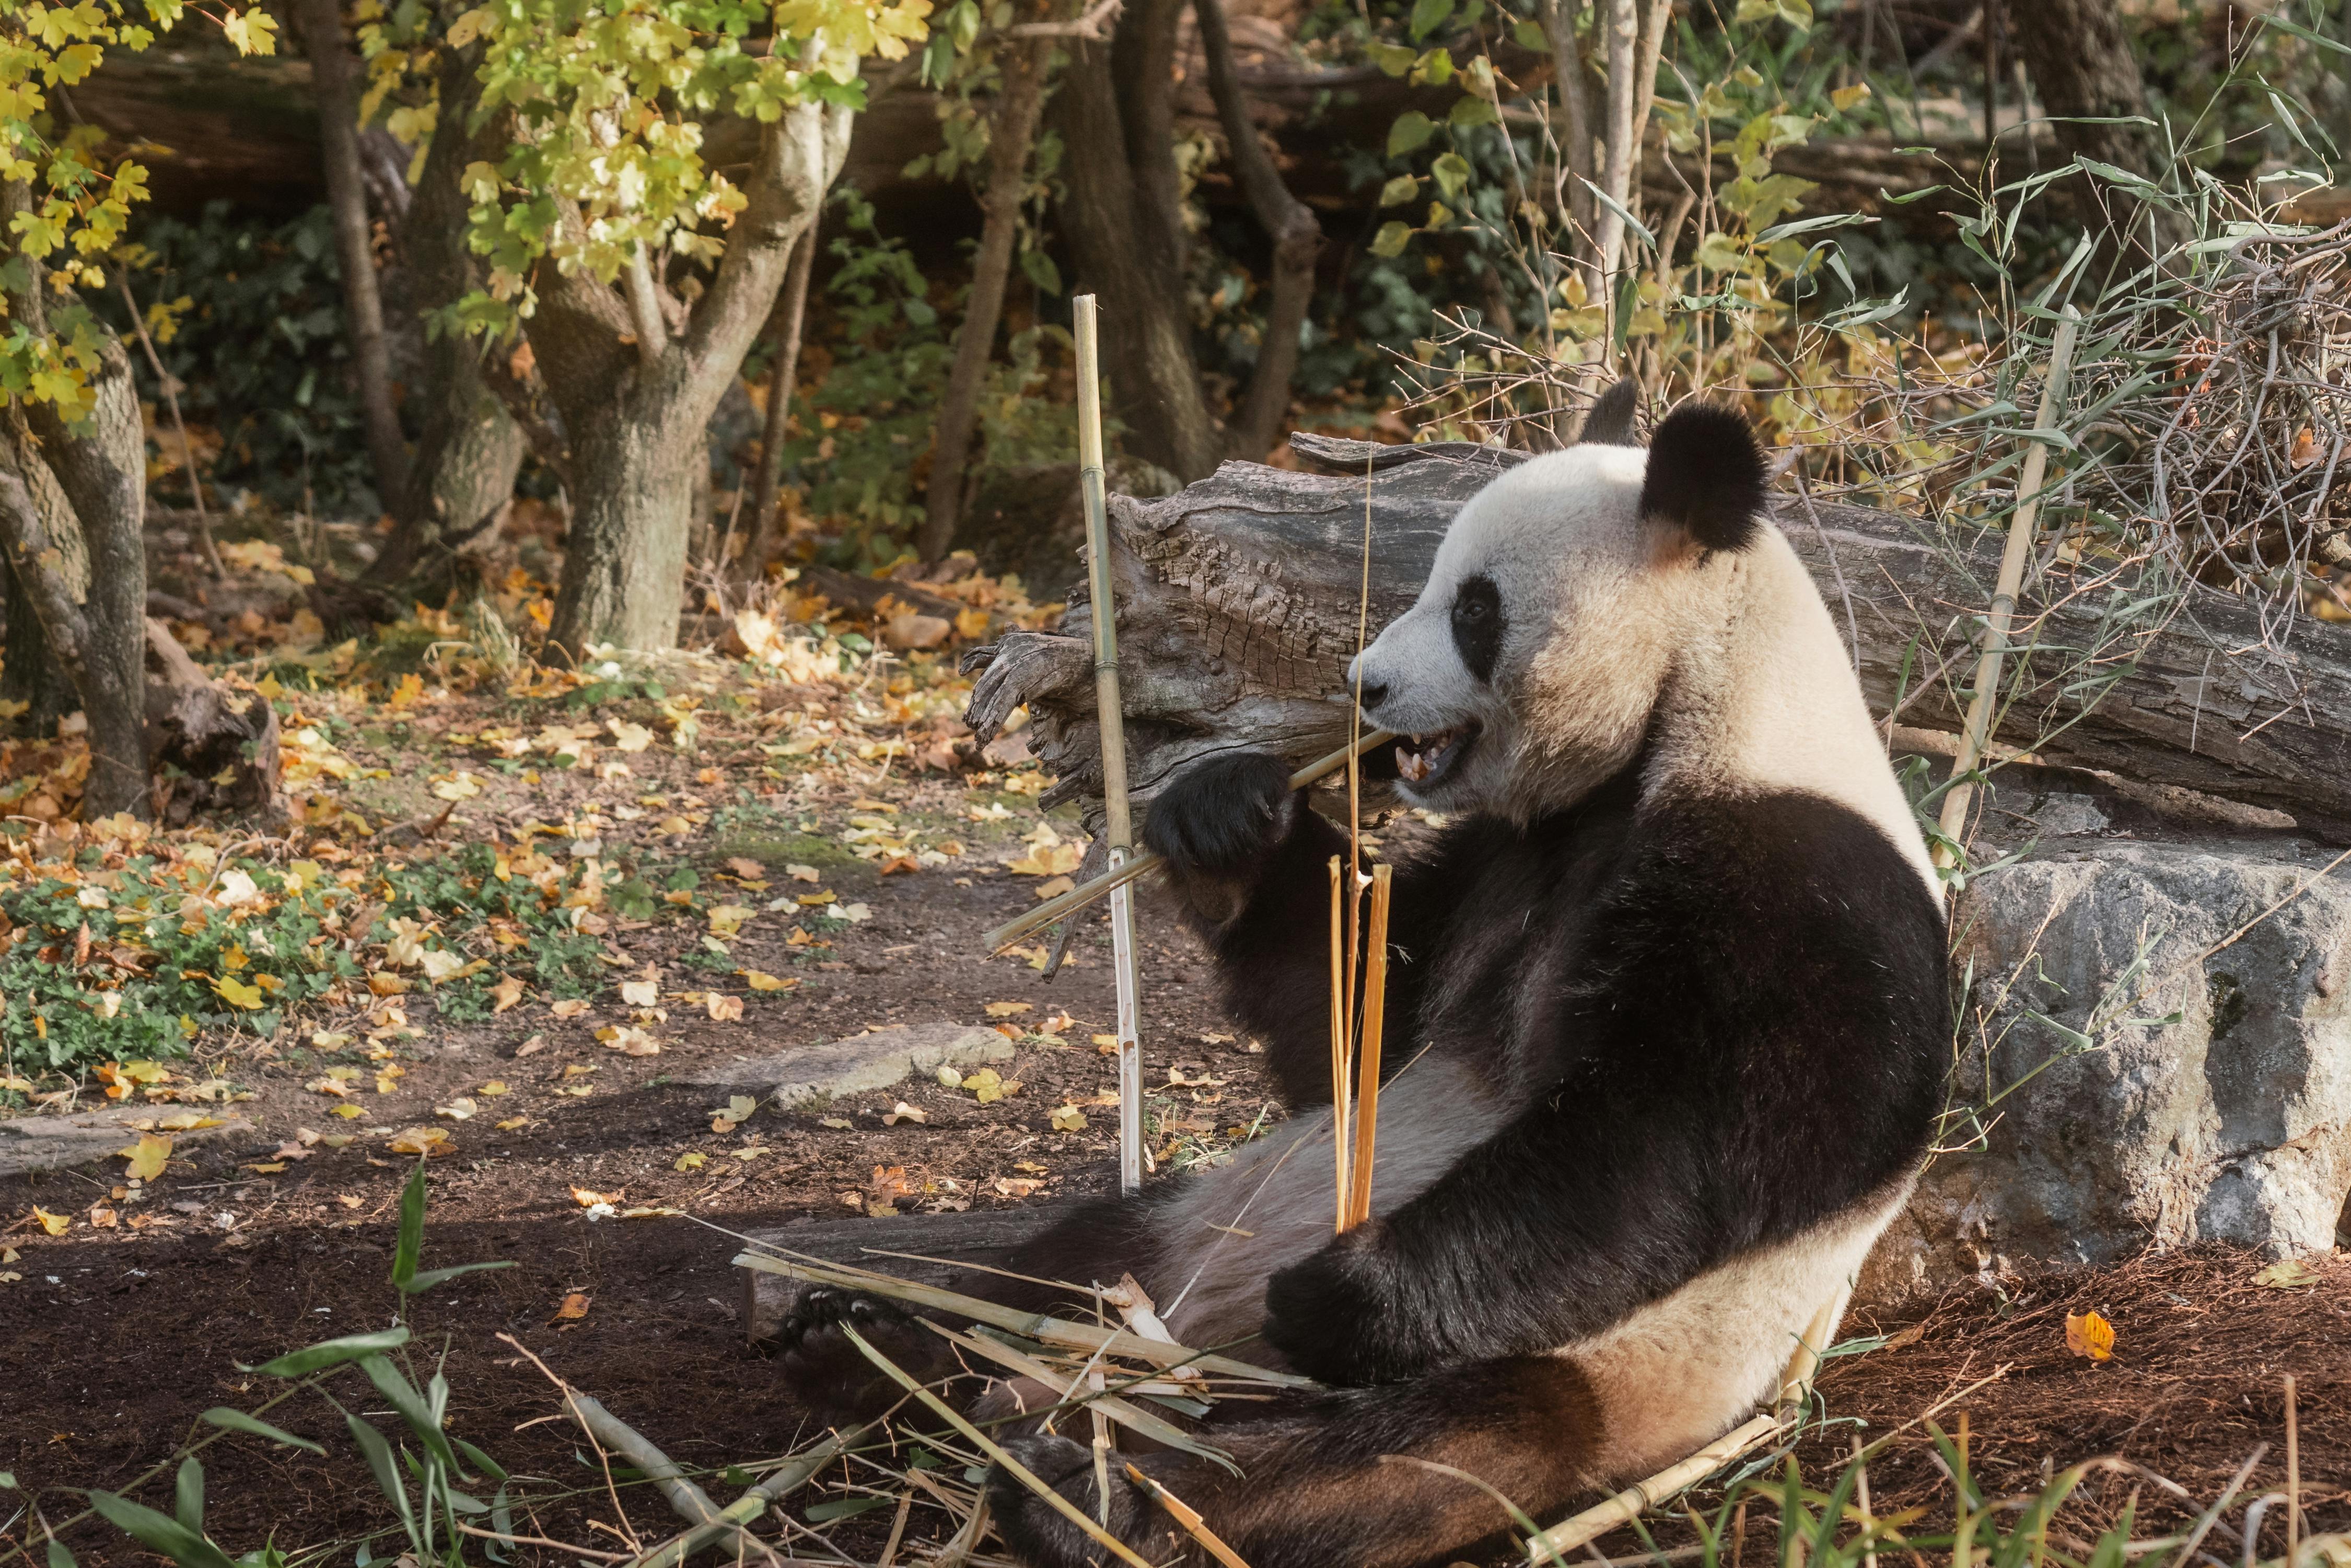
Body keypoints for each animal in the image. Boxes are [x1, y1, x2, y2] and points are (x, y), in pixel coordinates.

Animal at [776, 385, 1949, 1568]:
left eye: (1475, 610)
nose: (1366, 685)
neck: (1701, 705)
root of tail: (1191, 1348)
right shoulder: (1516, 850)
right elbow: (1355, 1024)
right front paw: (1225, 823)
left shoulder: (1800, 887)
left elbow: (1673, 1142)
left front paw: (1344, 1293)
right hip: (1199, 1213)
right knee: (1064, 1264)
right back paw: (880, 1346)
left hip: (1617, 1362)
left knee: (1412, 1446)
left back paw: (1098, 1496)